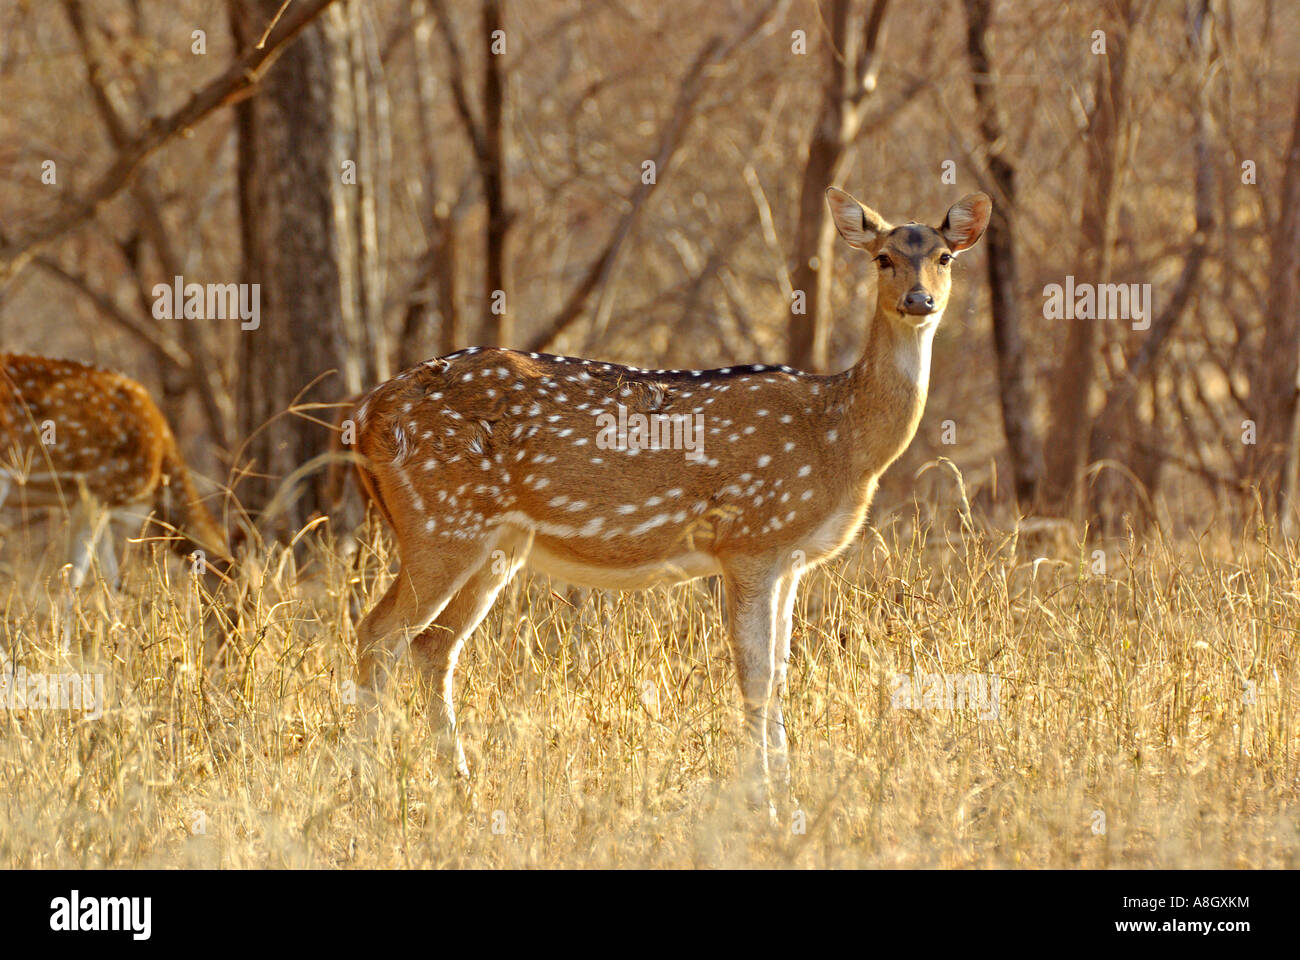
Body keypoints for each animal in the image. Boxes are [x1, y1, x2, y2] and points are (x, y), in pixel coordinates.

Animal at [0, 354, 234, 594]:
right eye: (230, 578)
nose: (234, 604)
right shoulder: (97, 491)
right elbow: (74, 577)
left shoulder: (104, 507)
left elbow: (110, 578)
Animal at [348, 187, 991, 805]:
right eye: (883, 257)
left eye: (945, 257)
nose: (919, 301)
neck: (840, 439)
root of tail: (364, 414)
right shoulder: (750, 539)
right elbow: (755, 675)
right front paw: (763, 805)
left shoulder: (792, 558)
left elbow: (781, 674)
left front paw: (792, 804)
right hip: (441, 523)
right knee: (378, 635)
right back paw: (370, 789)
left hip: (495, 543)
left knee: (432, 645)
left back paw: (459, 787)